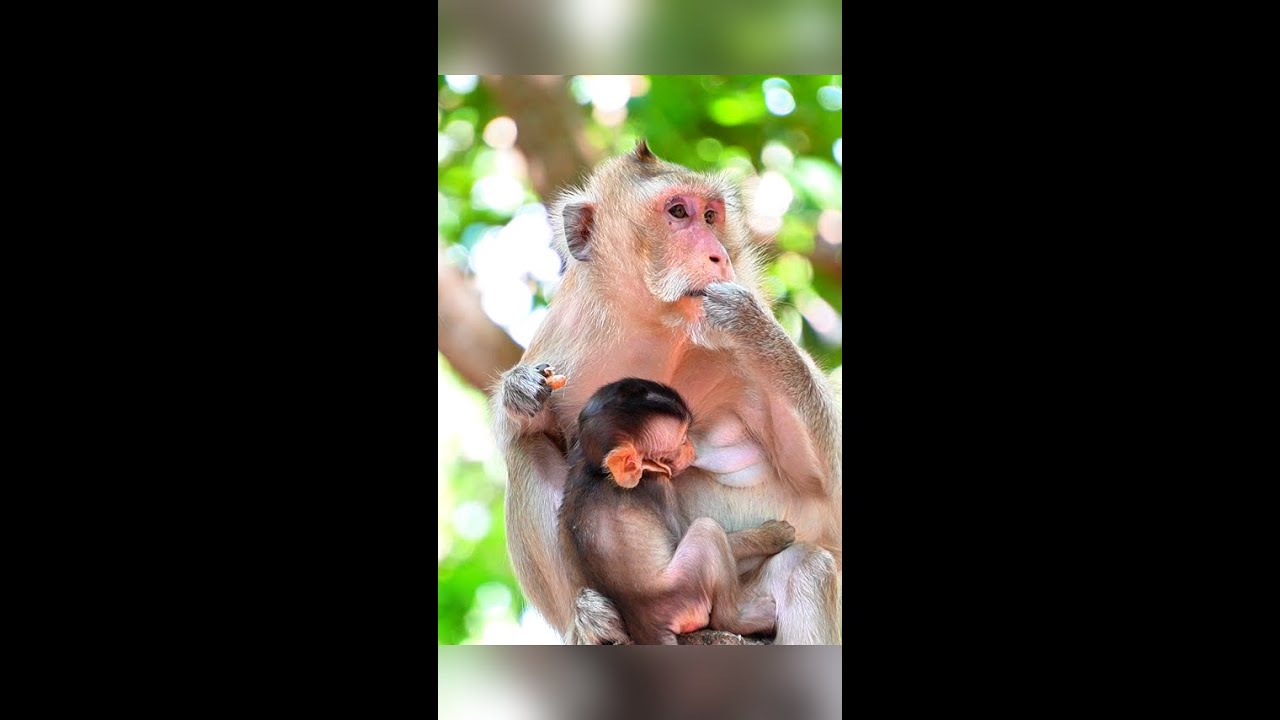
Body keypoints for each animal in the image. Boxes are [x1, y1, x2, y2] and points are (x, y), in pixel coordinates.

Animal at [558, 378, 796, 645]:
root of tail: (650, 624)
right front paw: (771, 535)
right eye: (681, 440)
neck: (599, 472)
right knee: (707, 533)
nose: (692, 447)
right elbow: (683, 535)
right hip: (684, 590)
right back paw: (743, 619)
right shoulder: (658, 485)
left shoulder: (578, 460)